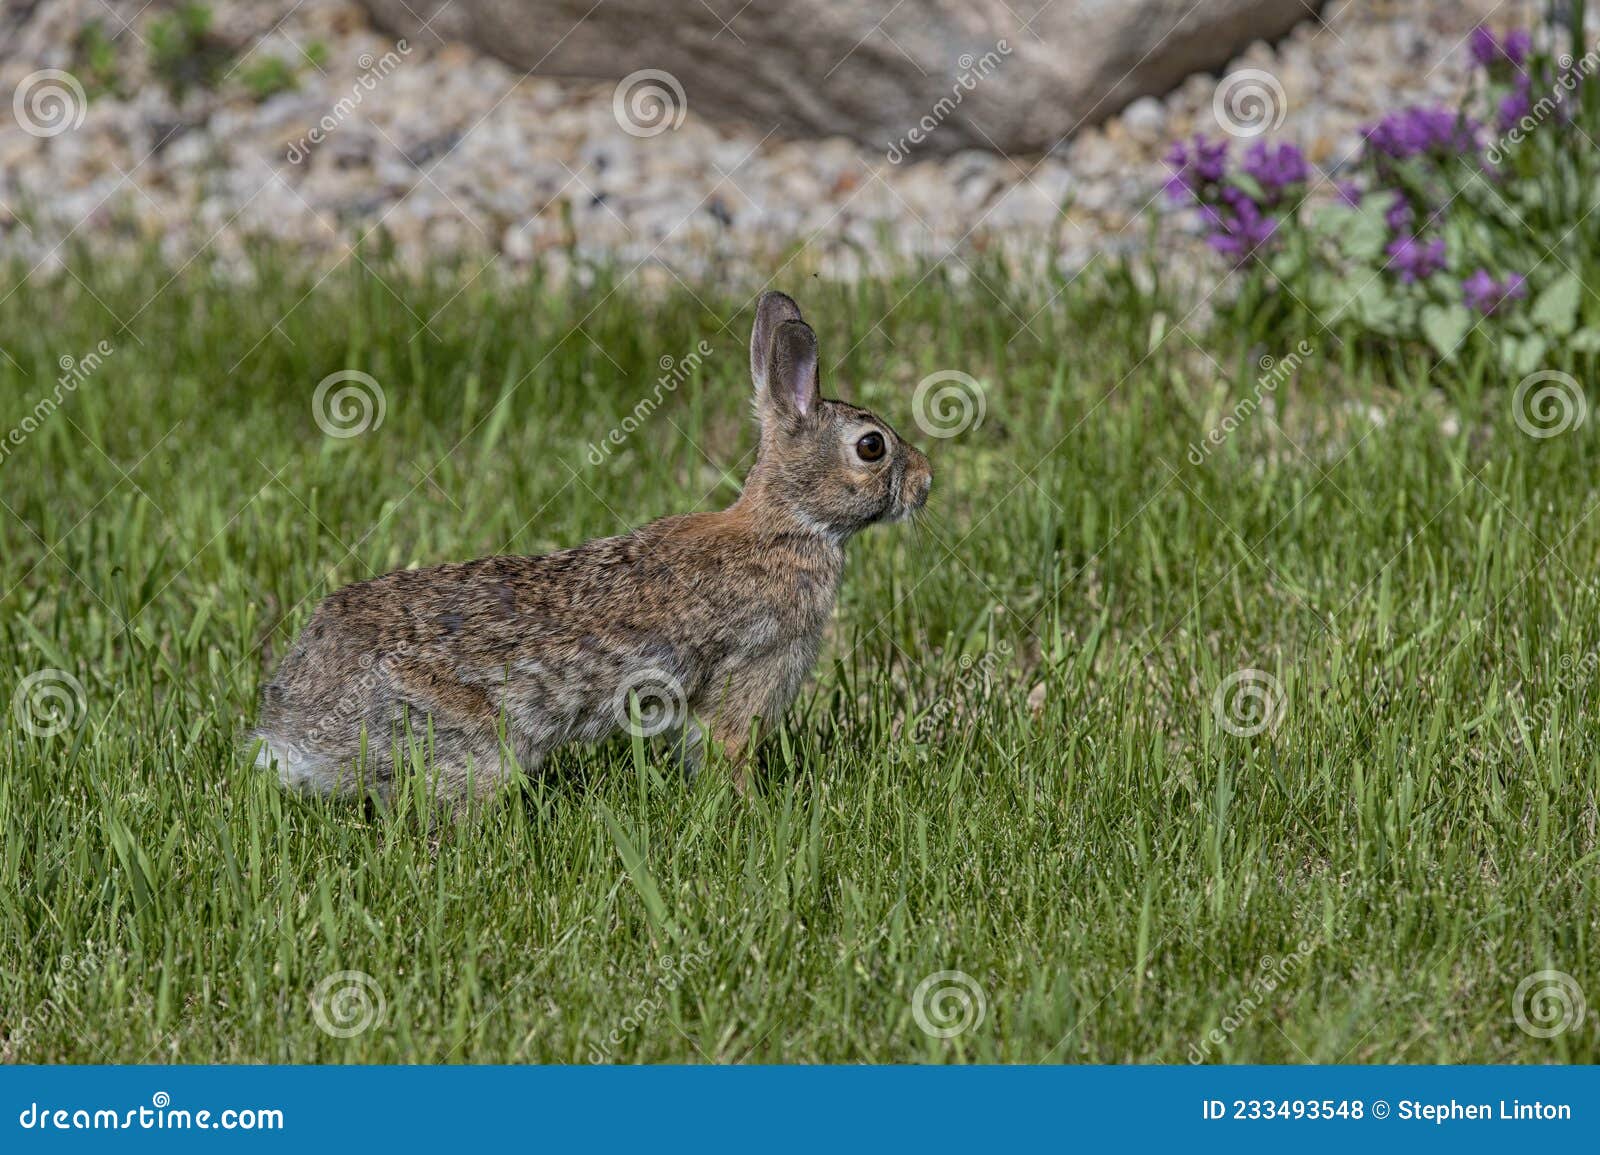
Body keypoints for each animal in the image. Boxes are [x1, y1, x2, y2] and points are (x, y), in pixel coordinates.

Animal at [251, 290, 932, 810]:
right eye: (872, 447)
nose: (926, 482)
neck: (788, 526)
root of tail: (296, 733)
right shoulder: (754, 668)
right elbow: (727, 748)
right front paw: (753, 812)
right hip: (474, 742)